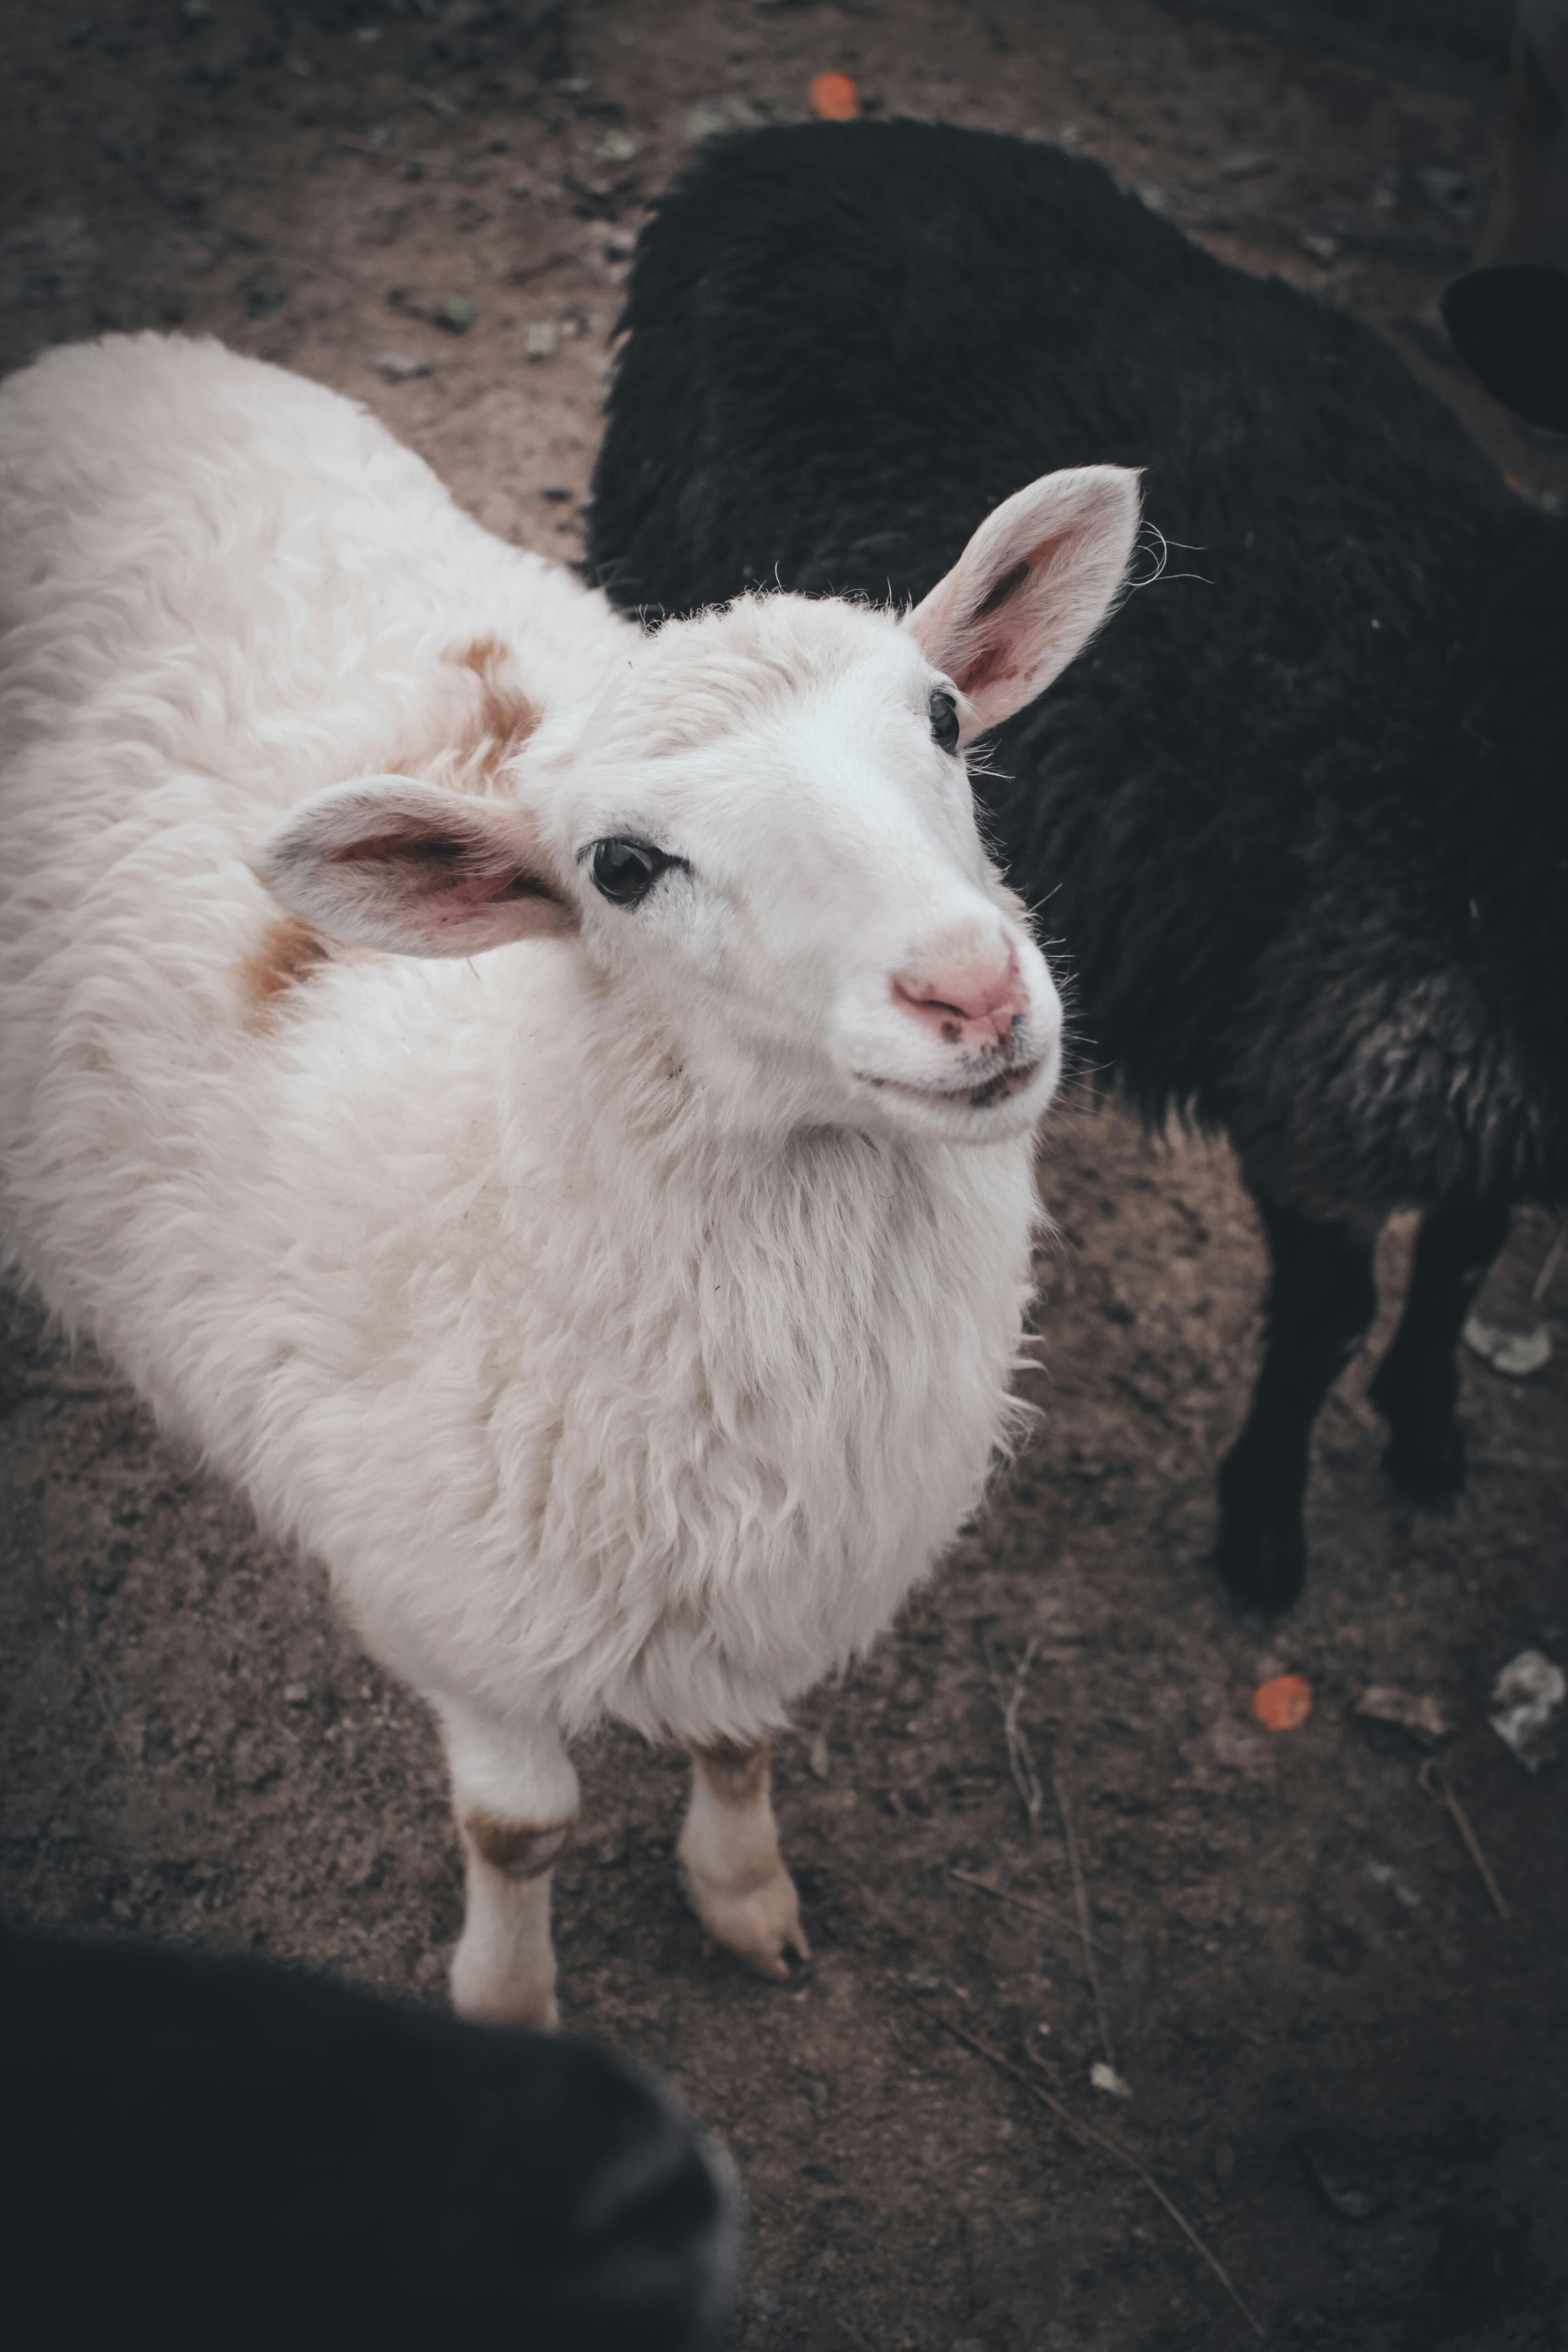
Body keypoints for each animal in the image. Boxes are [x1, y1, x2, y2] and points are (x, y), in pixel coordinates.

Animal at [0, 332, 1140, 2021]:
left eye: (943, 718)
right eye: (618, 869)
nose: (969, 991)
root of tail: (93, 362)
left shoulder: (769, 1587)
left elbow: (736, 1738)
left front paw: (743, 1893)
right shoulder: (452, 1609)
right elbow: (517, 1829)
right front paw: (510, 2000)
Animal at [585, 119, 1568, 1620]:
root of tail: (767, 143)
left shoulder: (1476, 1092)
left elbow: (1461, 1257)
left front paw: (1423, 1435)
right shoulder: (1334, 1076)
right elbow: (1323, 1321)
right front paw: (1261, 1532)